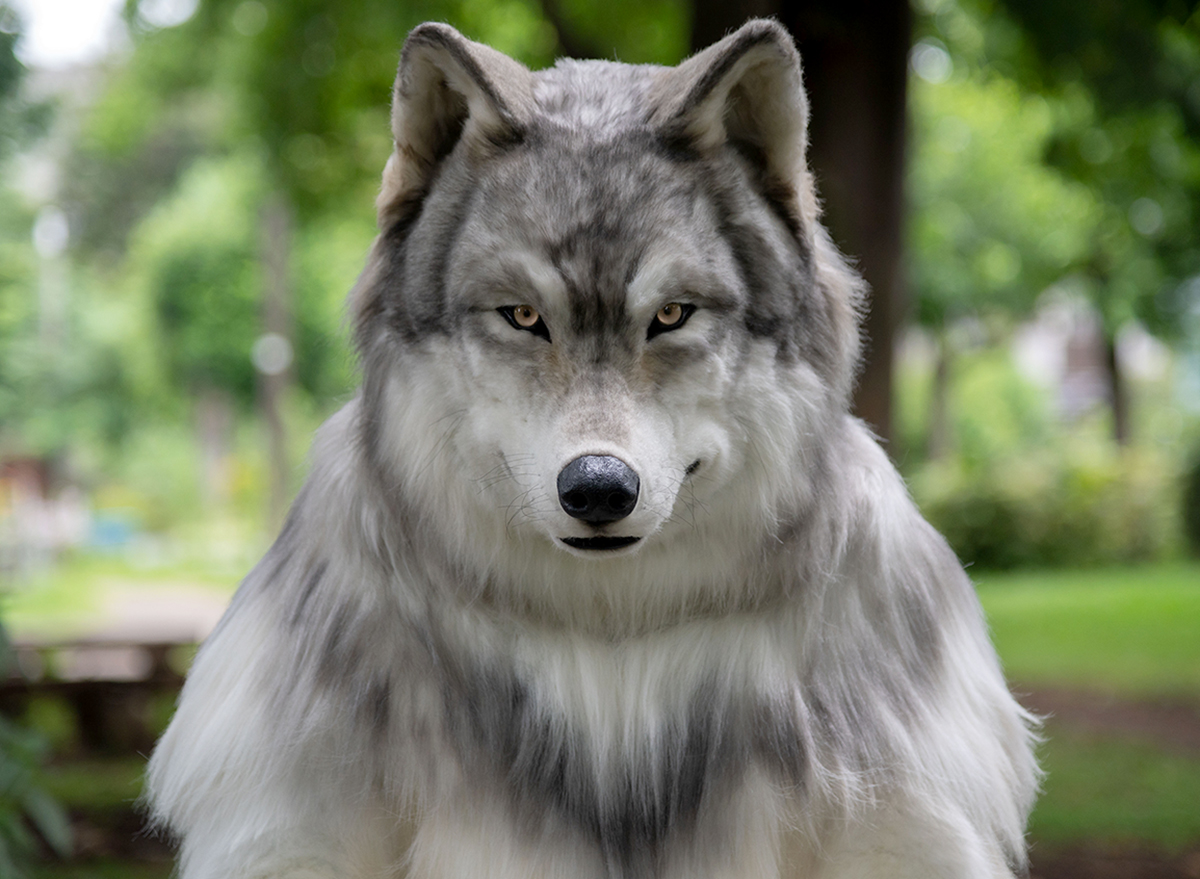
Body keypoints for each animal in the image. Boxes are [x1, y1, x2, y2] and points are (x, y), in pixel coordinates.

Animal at [147, 19, 1039, 879]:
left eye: (672, 315)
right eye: (522, 316)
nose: (601, 488)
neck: (610, 648)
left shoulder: (899, 821)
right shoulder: (296, 828)